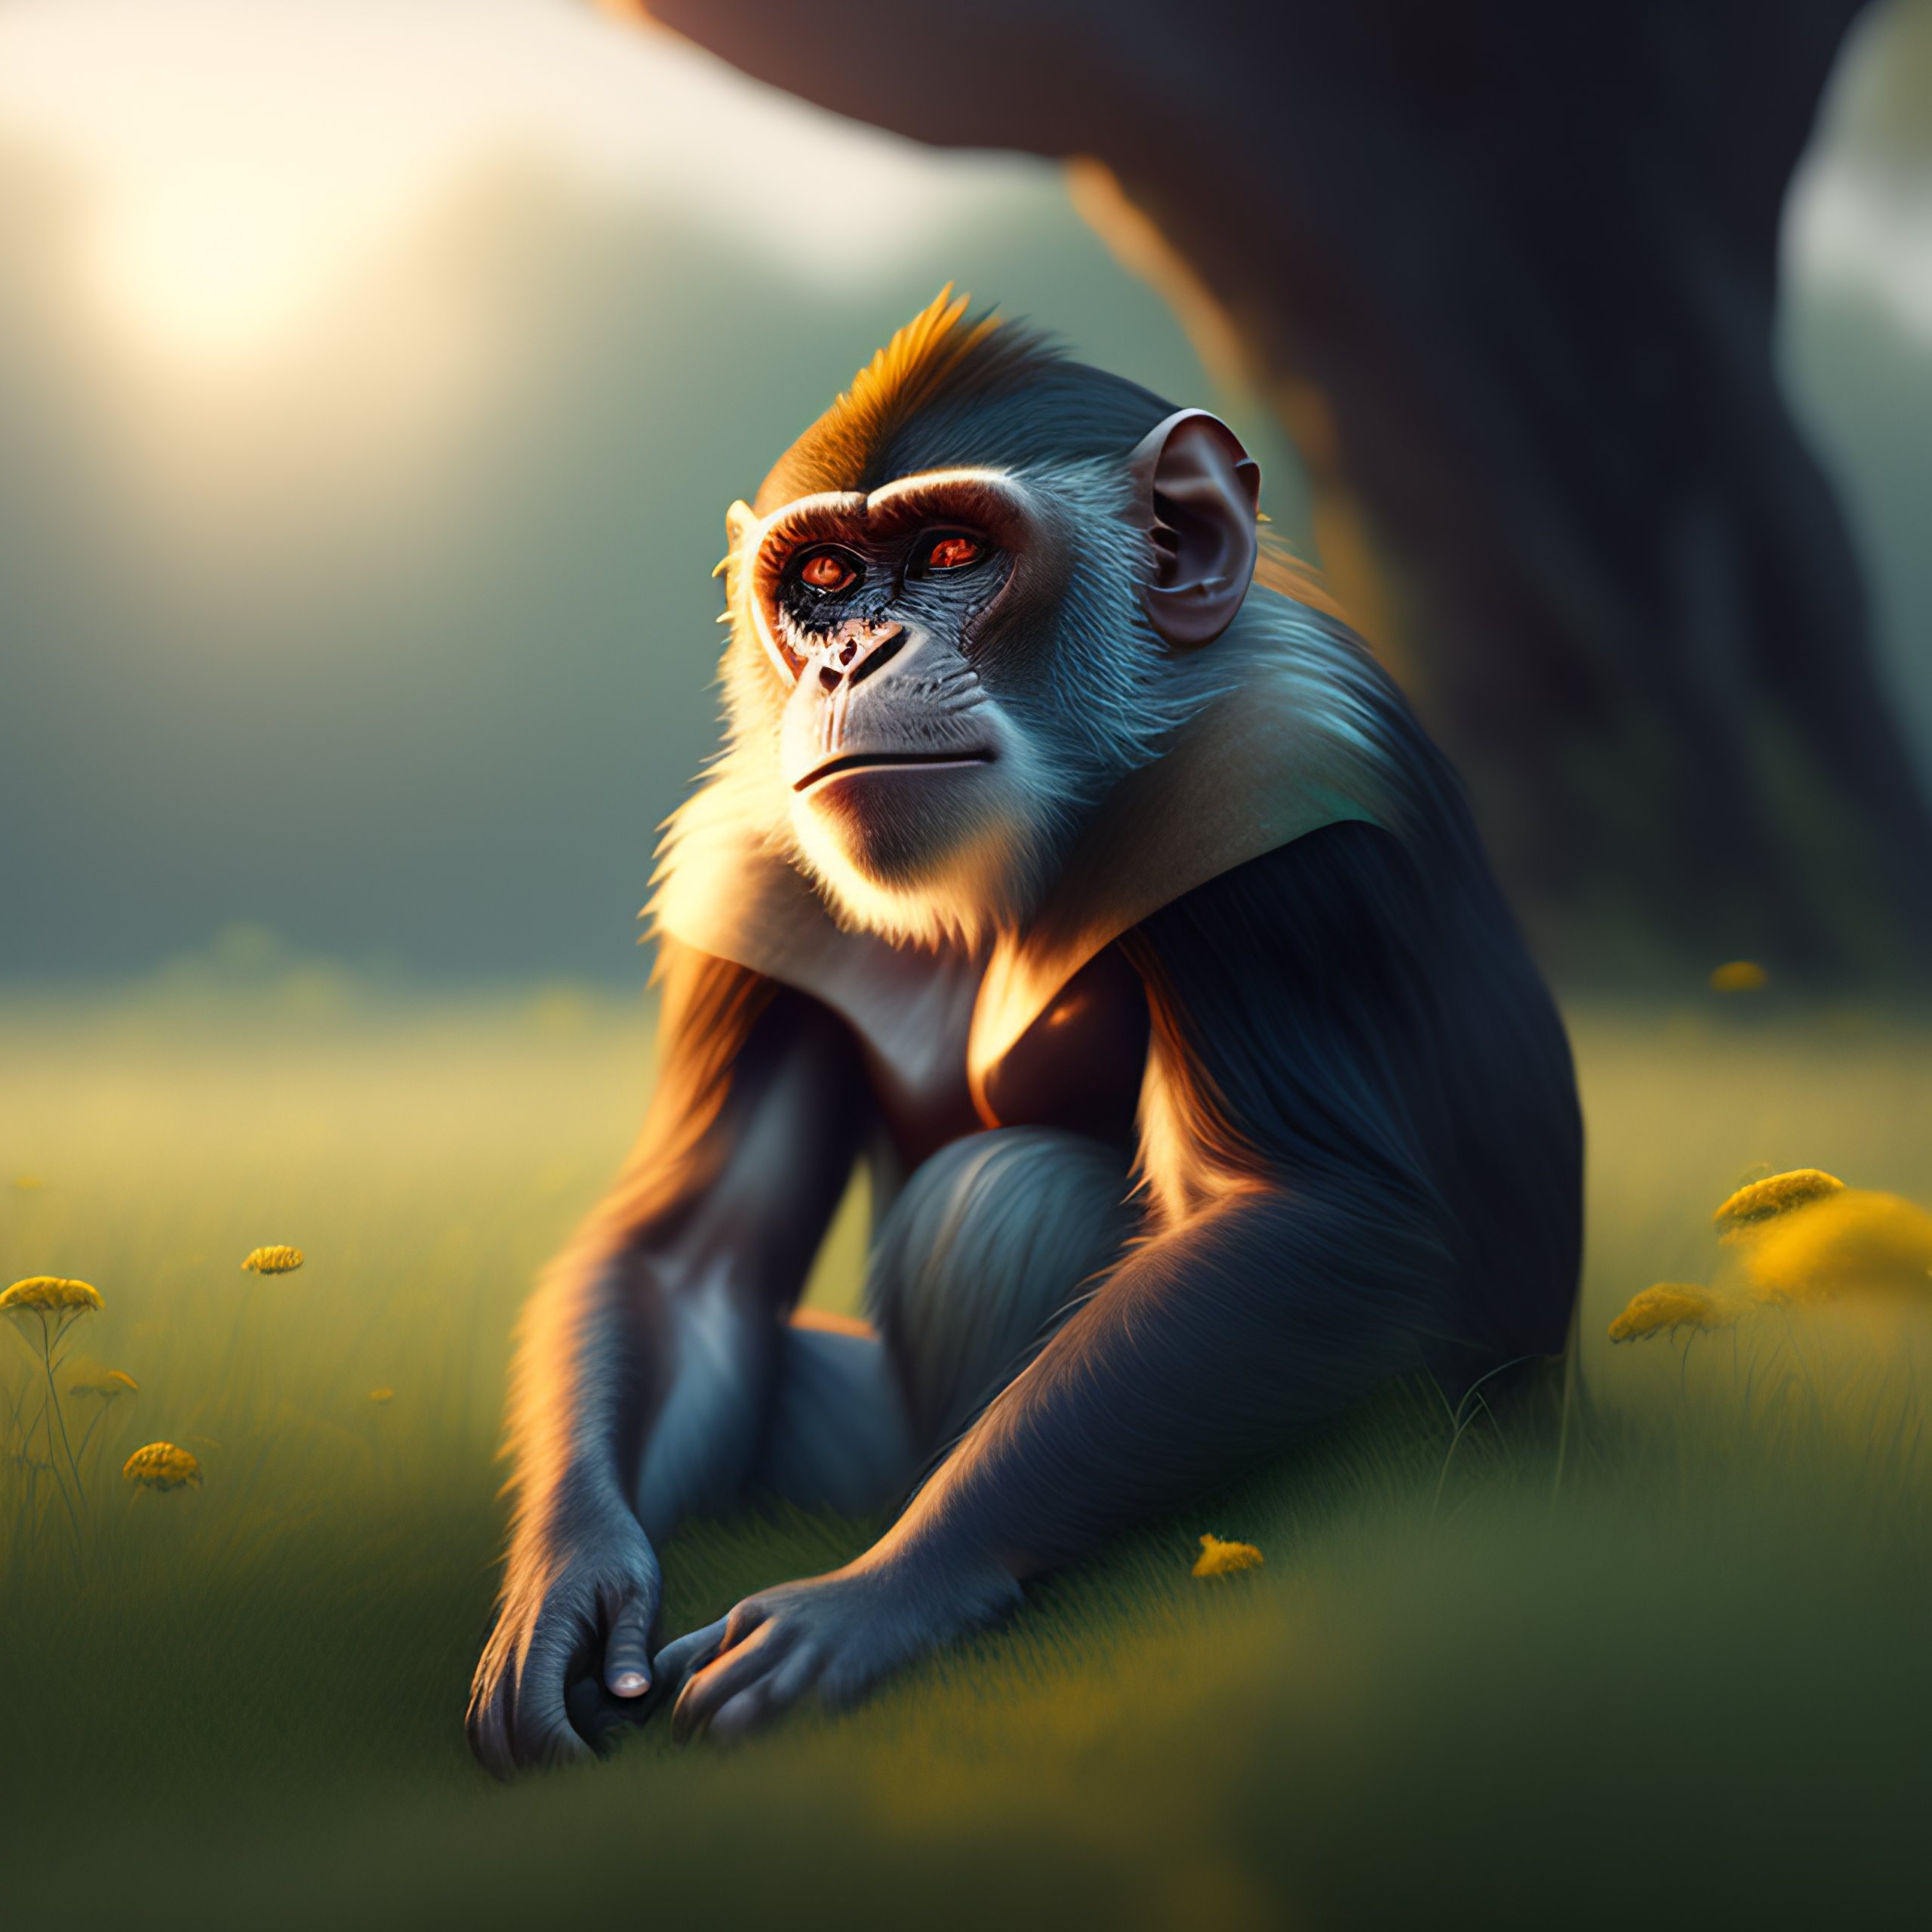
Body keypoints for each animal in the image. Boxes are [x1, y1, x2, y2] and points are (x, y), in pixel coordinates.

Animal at [465, 291, 1582, 1774]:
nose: (852, 655)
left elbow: (1304, 1212)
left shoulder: (1272, 767)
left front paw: (877, 1596)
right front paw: (568, 1588)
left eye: (952, 552)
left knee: (1007, 1192)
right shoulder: (744, 865)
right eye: (824, 578)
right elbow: (691, 1252)